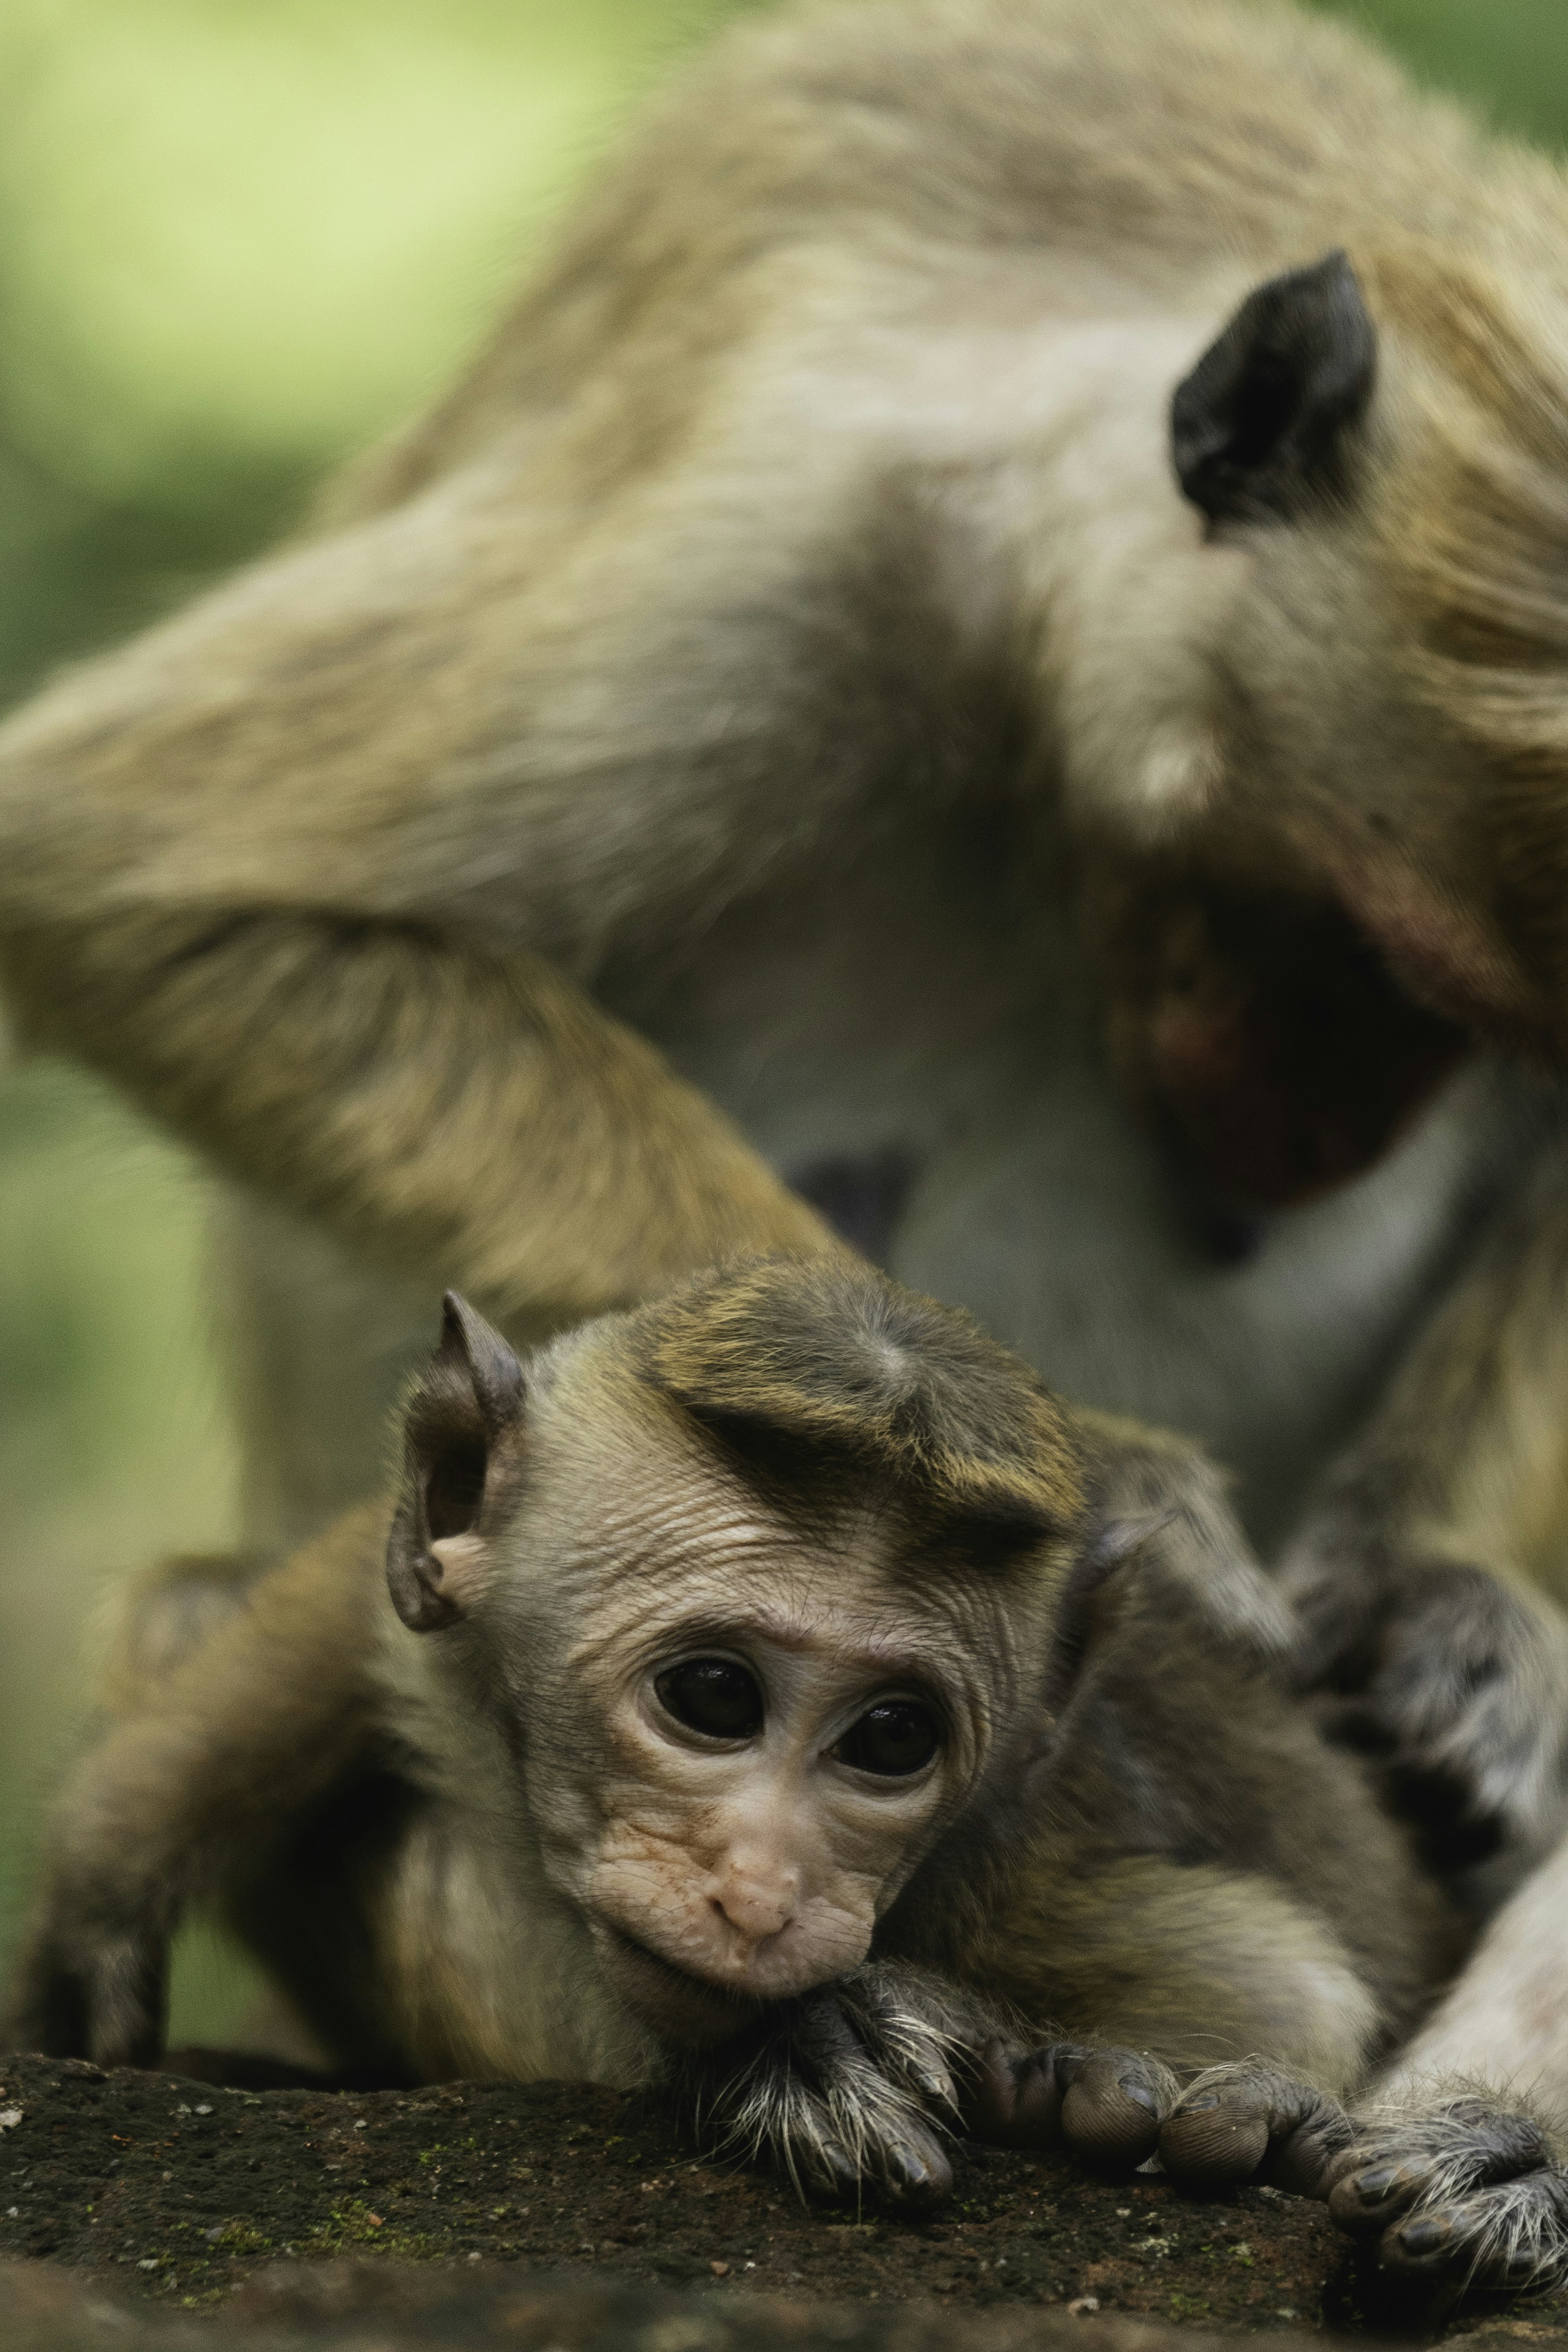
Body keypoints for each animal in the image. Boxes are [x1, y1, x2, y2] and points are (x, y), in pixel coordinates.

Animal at [4, 0, 1568, 2110]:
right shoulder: (796, 527)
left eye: (1485, 1021)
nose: (1310, 1136)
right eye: (1350, 948)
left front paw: (1435, 1603)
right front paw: (1126, 1486)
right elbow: (140, 872)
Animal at [10, 1257, 1568, 2290]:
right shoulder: (429, 1620)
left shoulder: (1011, 1868)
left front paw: (897, 2045)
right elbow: (339, 1601)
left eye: (890, 1739)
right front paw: (97, 1895)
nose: (760, 1893)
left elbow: (1275, 1992)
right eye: (711, 1696)